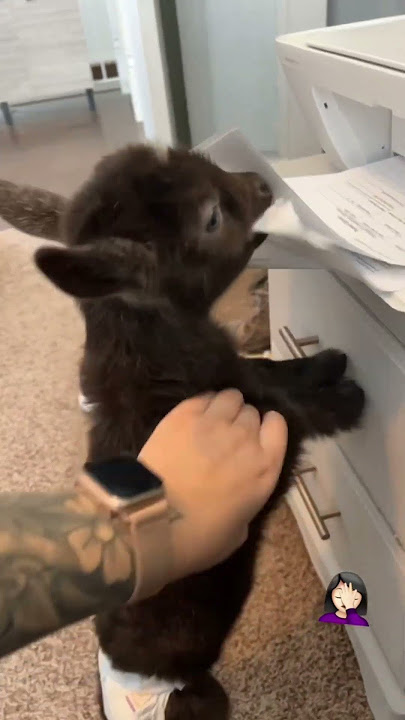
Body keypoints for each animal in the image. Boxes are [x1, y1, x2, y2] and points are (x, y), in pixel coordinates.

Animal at [0, 144, 365, 719]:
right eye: (211, 217)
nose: (261, 183)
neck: (155, 346)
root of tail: (121, 677)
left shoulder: (246, 374)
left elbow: (277, 368)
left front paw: (326, 359)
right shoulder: (271, 423)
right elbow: (302, 407)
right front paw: (348, 397)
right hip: (194, 686)